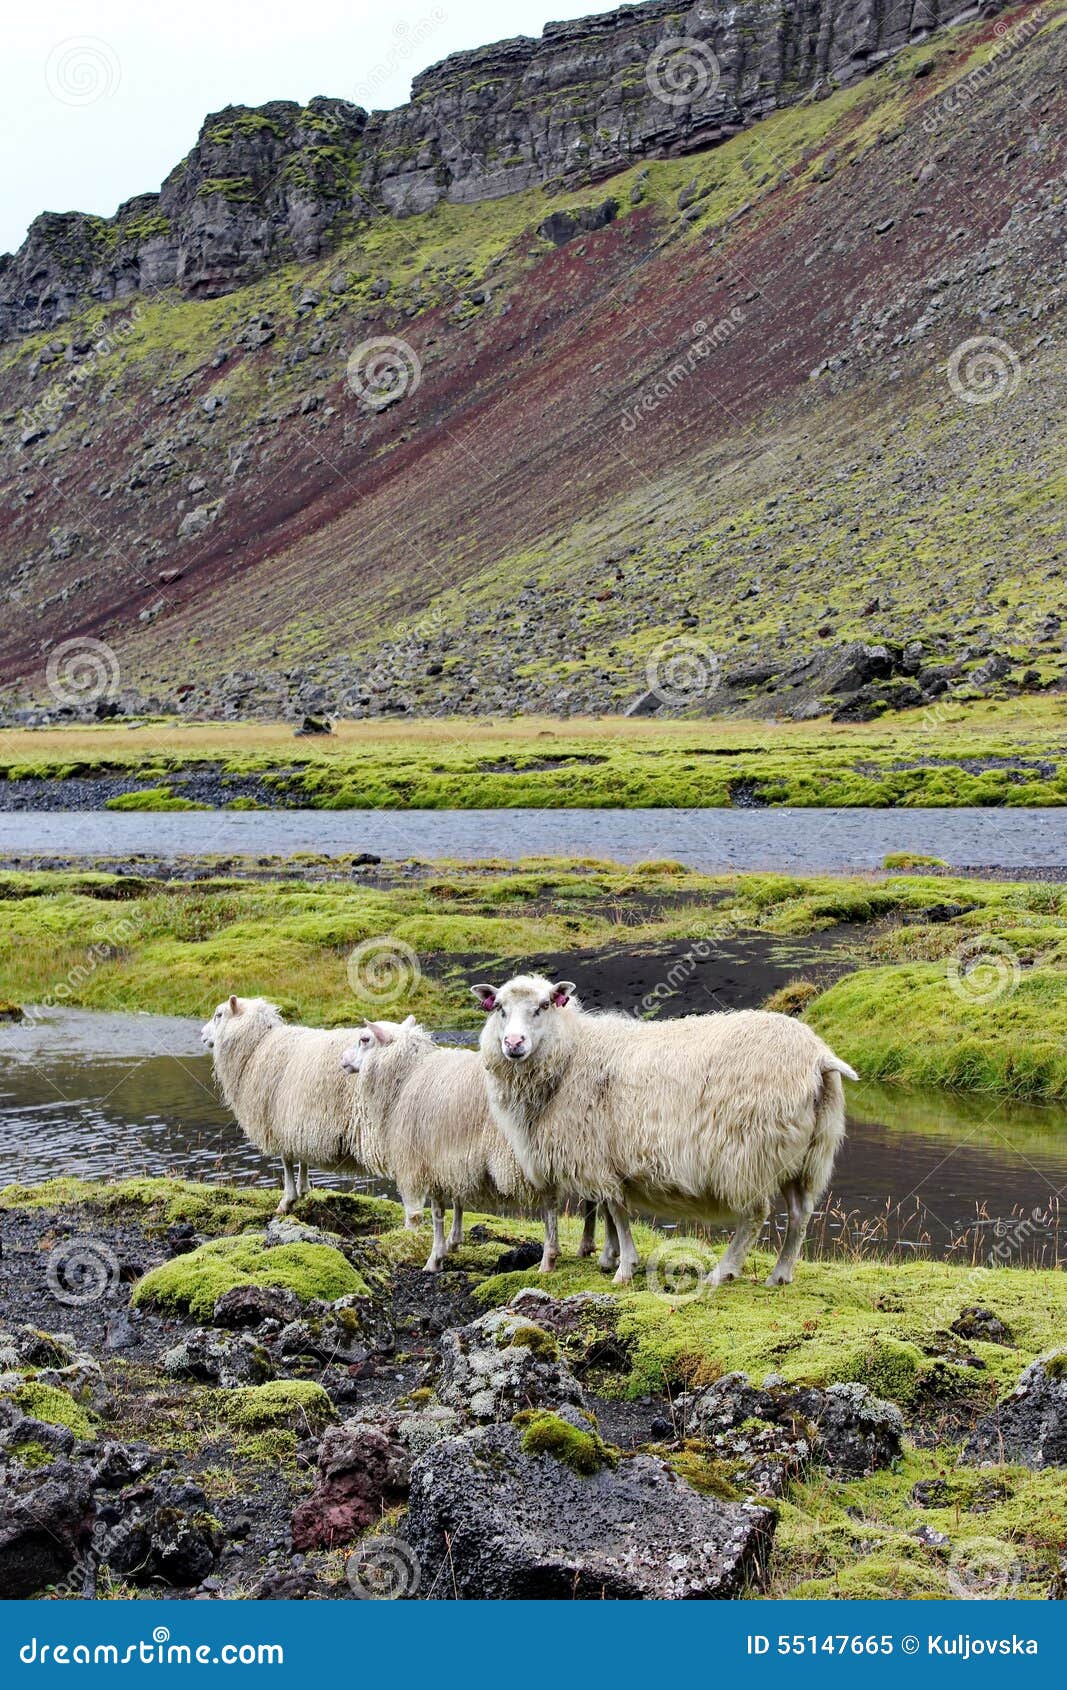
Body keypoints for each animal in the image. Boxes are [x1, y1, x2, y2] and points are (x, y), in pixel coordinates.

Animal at [201, 995, 422, 1221]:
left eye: (219, 1015)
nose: (201, 1034)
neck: (258, 1044)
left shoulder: (278, 1120)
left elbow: (286, 1161)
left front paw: (287, 1200)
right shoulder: (298, 1121)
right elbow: (301, 1157)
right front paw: (303, 1188)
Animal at [340, 1019, 574, 1275]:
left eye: (364, 1039)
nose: (343, 1060)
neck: (408, 1074)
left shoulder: (423, 1160)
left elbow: (433, 1212)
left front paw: (431, 1255)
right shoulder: (451, 1157)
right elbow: (457, 1201)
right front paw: (453, 1241)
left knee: (550, 1203)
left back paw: (549, 1258)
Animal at [471, 974, 857, 1288]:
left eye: (543, 1006)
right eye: (499, 1008)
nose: (514, 1043)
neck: (570, 1054)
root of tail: (819, 1057)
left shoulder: (593, 1155)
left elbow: (613, 1211)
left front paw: (621, 1266)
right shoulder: (602, 1155)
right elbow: (608, 1210)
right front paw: (609, 1256)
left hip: (748, 1152)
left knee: (756, 1214)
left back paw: (723, 1272)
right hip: (805, 1154)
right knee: (800, 1213)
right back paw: (780, 1275)